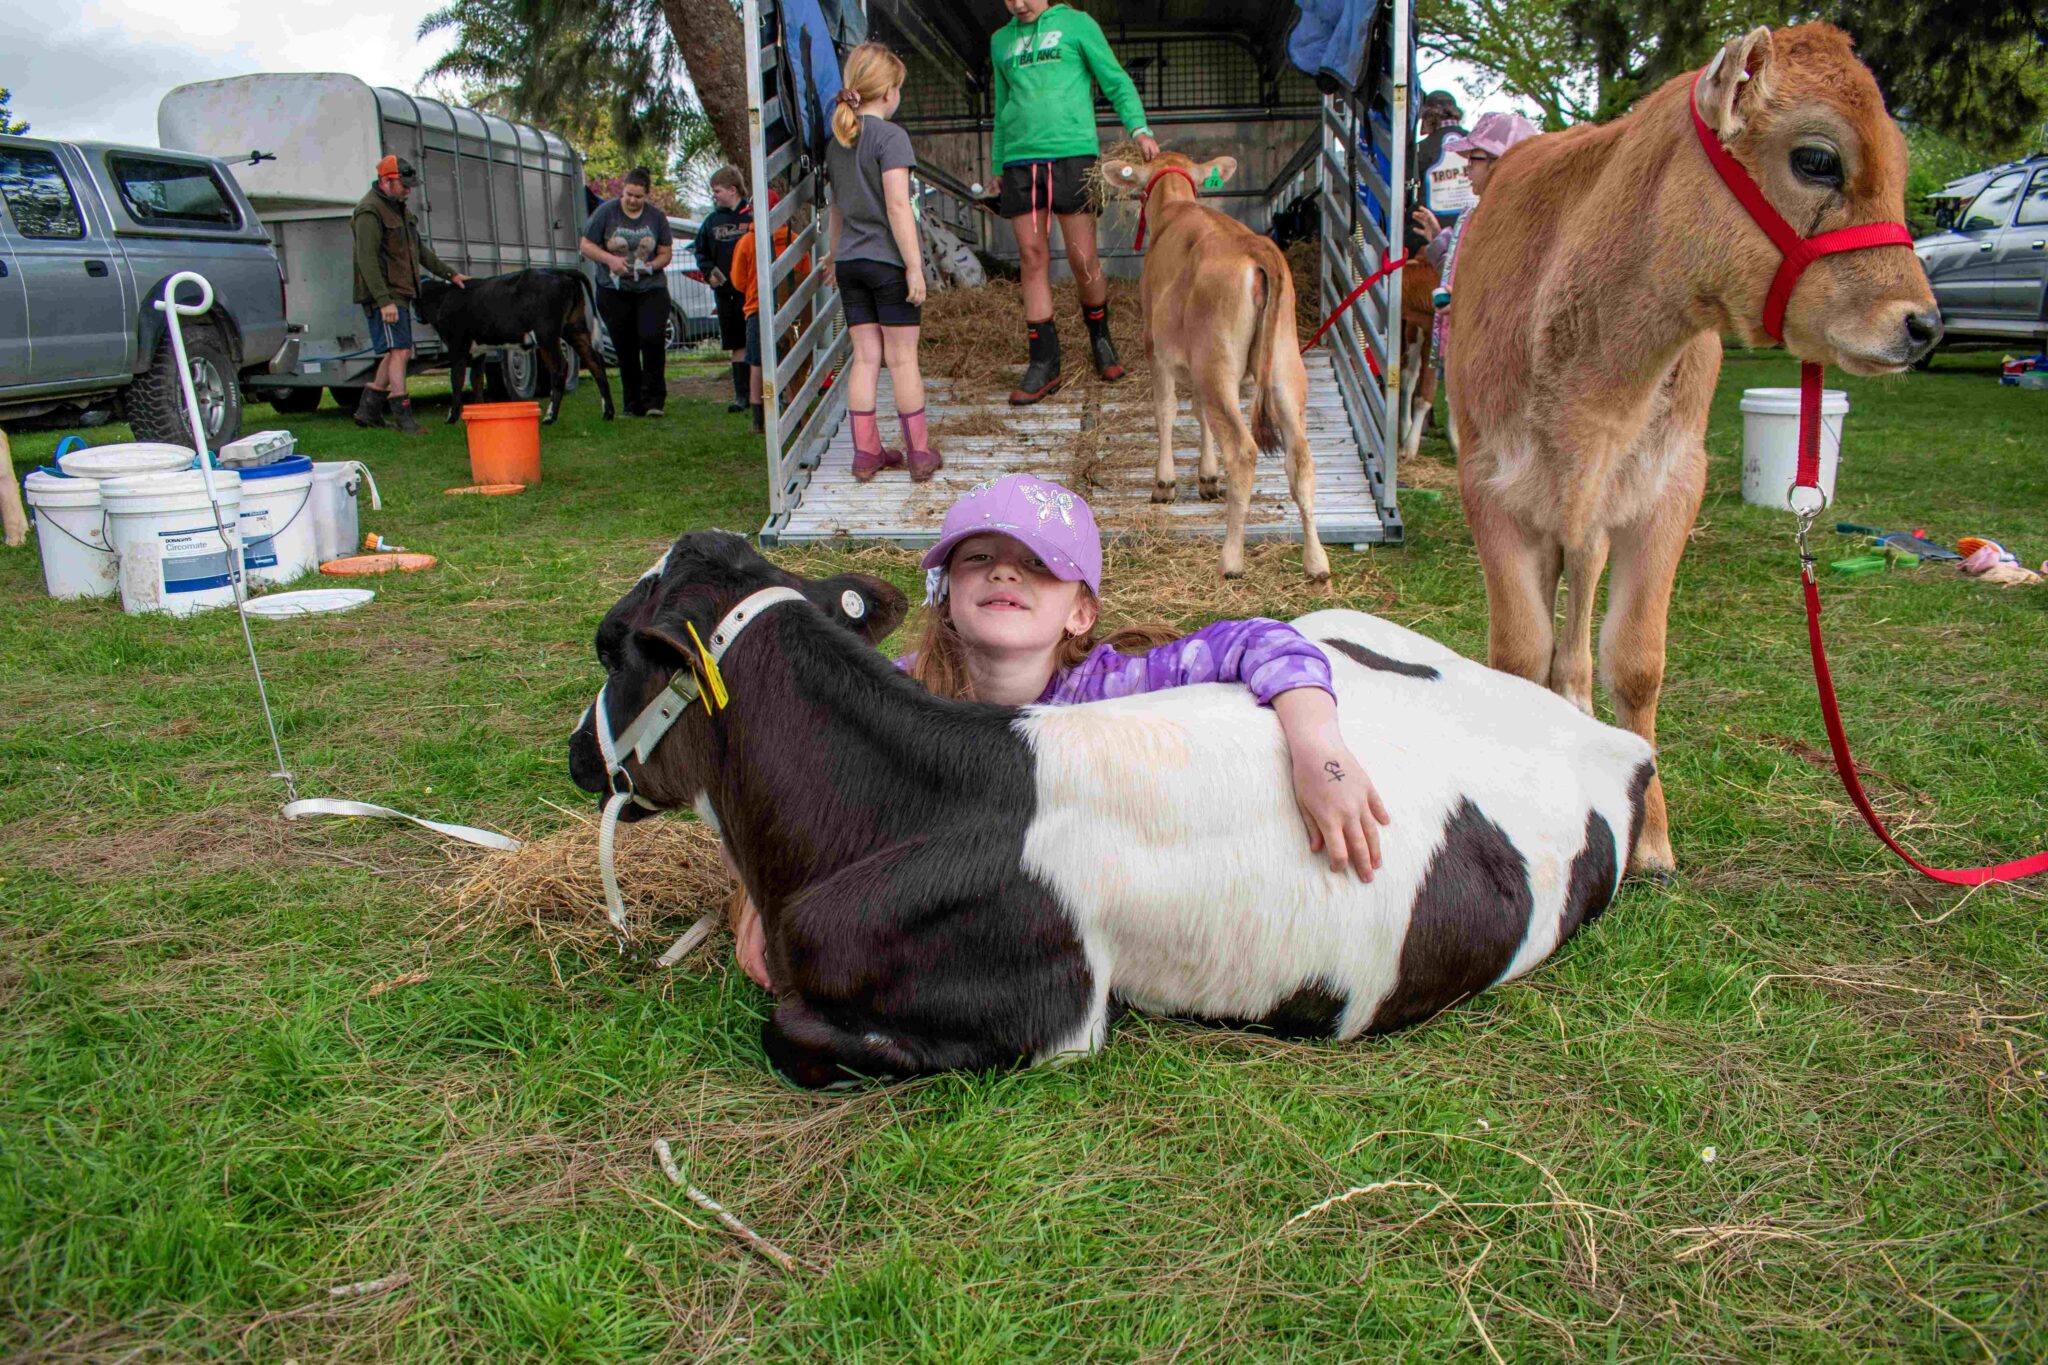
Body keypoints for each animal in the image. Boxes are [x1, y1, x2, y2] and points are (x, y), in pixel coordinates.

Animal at [412, 268, 616, 425]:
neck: (442, 298)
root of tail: (558, 271)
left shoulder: (457, 346)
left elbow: (457, 380)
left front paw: (452, 417)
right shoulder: (479, 350)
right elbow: (476, 380)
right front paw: (477, 411)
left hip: (547, 334)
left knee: (560, 367)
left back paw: (550, 417)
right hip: (574, 327)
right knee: (595, 362)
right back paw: (608, 412)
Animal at [1097, 151, 1327, 583]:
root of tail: (1256, 248)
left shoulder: (1156, 350)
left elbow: (1167, 410)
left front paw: (1165, 483)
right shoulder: (1200, 368)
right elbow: (1199, 413)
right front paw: (1206, 477)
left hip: (1218, 363)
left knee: (1242, 450)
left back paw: (1231, 560)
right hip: (1283, 368)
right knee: (1301, 457)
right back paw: (1317, 562)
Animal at [1445, 25, 1939, 877]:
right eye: (1818, 159)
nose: (1922, 324)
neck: (1602, 374)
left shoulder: (1671, 487)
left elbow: (1637, 660)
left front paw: (1649, 834)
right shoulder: (1491, 486)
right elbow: (1518, 647)